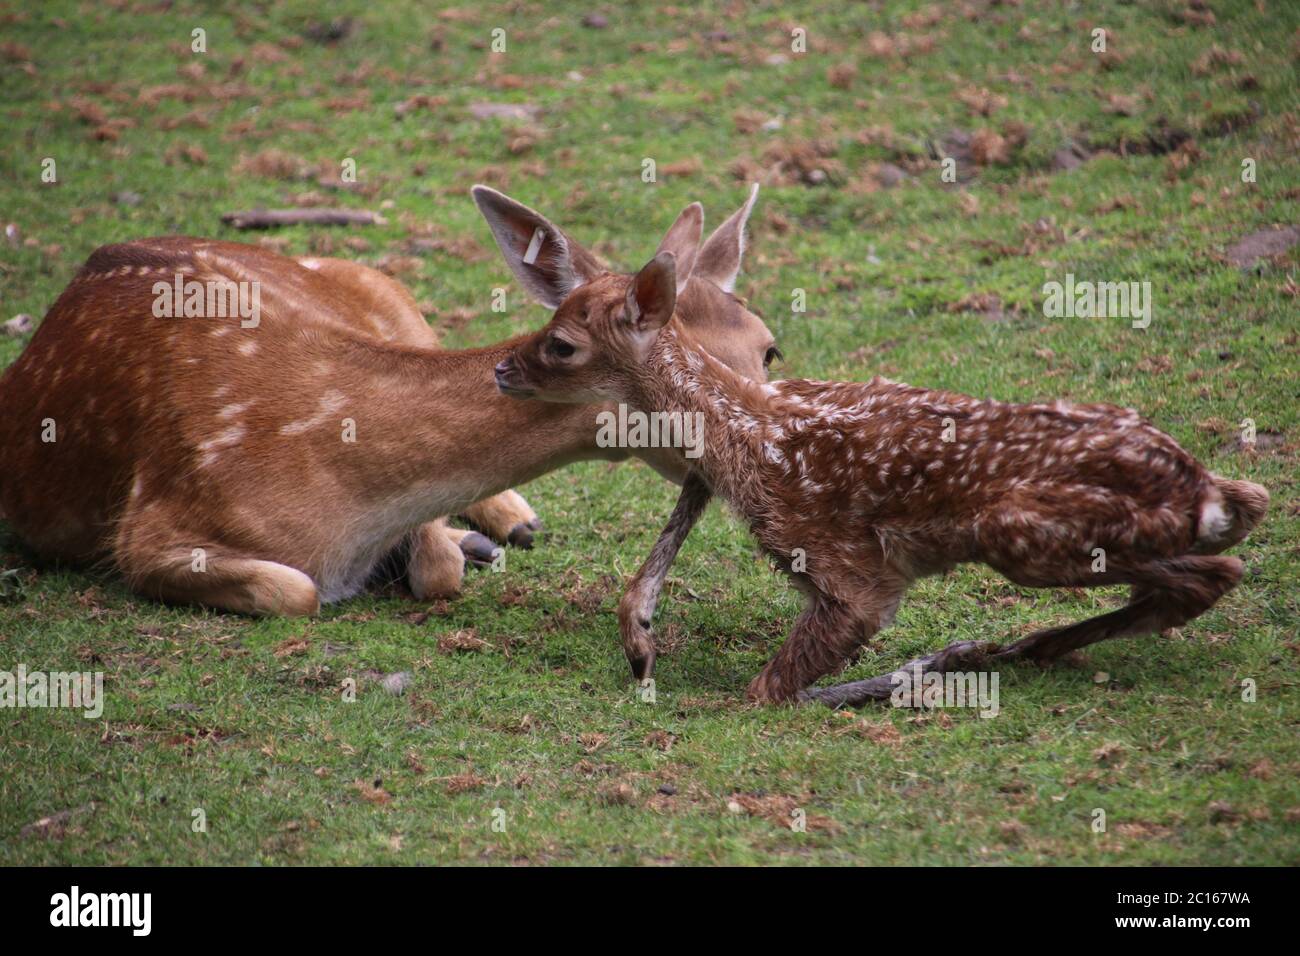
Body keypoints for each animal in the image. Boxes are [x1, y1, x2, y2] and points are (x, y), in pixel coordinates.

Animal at [0, 187, 778, 617]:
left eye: (768, 347)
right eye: (675, 384)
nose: (770, 444)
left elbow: (436, 569)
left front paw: (455, 545)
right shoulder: (150, 531)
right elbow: (299, 591)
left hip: (389, 292)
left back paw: (506, 524)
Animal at [495, 248, 1270, 707]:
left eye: (561, 344)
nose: (501, 368)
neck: (752, 438)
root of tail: (1206, 491)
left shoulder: (850, 572)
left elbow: (768, 690)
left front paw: (938, 660)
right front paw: (639, 642)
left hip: (1018, 532)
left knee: (1212, 573)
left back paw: (1014, 647)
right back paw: (1032, 646)